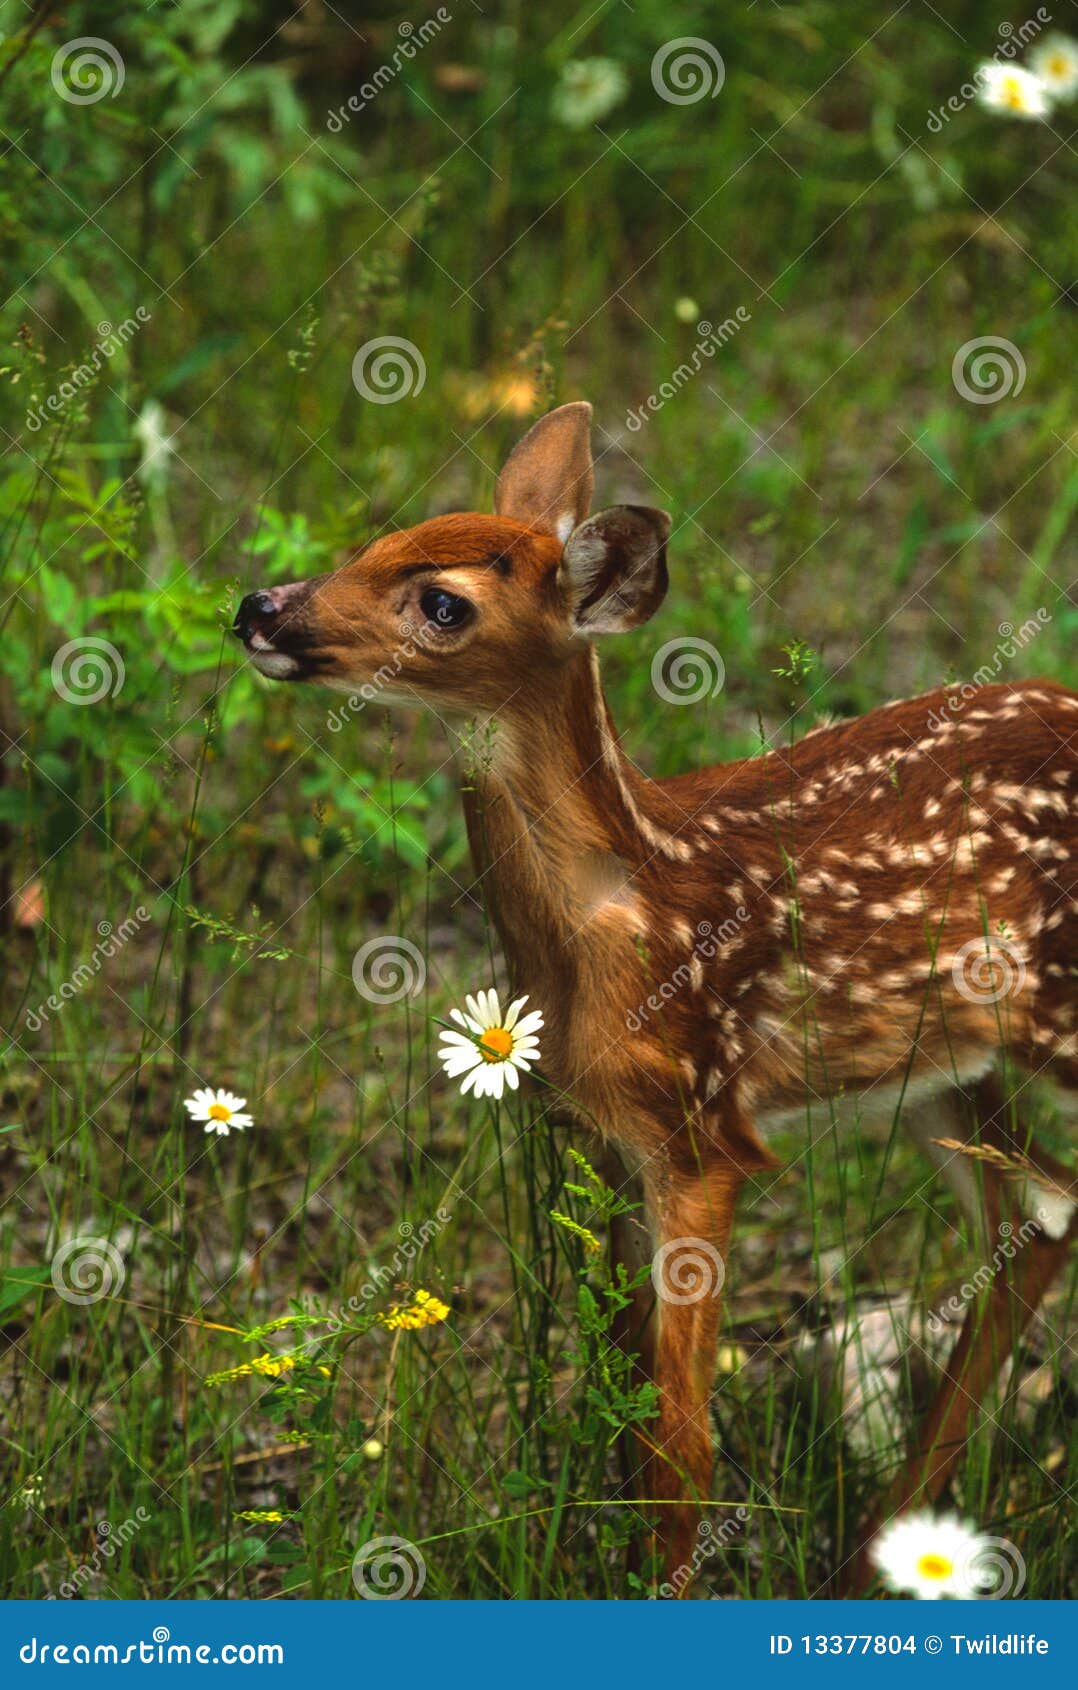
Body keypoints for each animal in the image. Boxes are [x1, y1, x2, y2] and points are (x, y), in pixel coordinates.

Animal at [232, 401, 1077, 1594]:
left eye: (441, 602)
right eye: (373, 542)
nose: (258, 607)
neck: (621, 912)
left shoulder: (701, 1134)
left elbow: (683, 1444)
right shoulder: (609, 1139)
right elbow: (629, 1418)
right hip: (936, 1069)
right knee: (1041, 1211)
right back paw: (875, 1546)